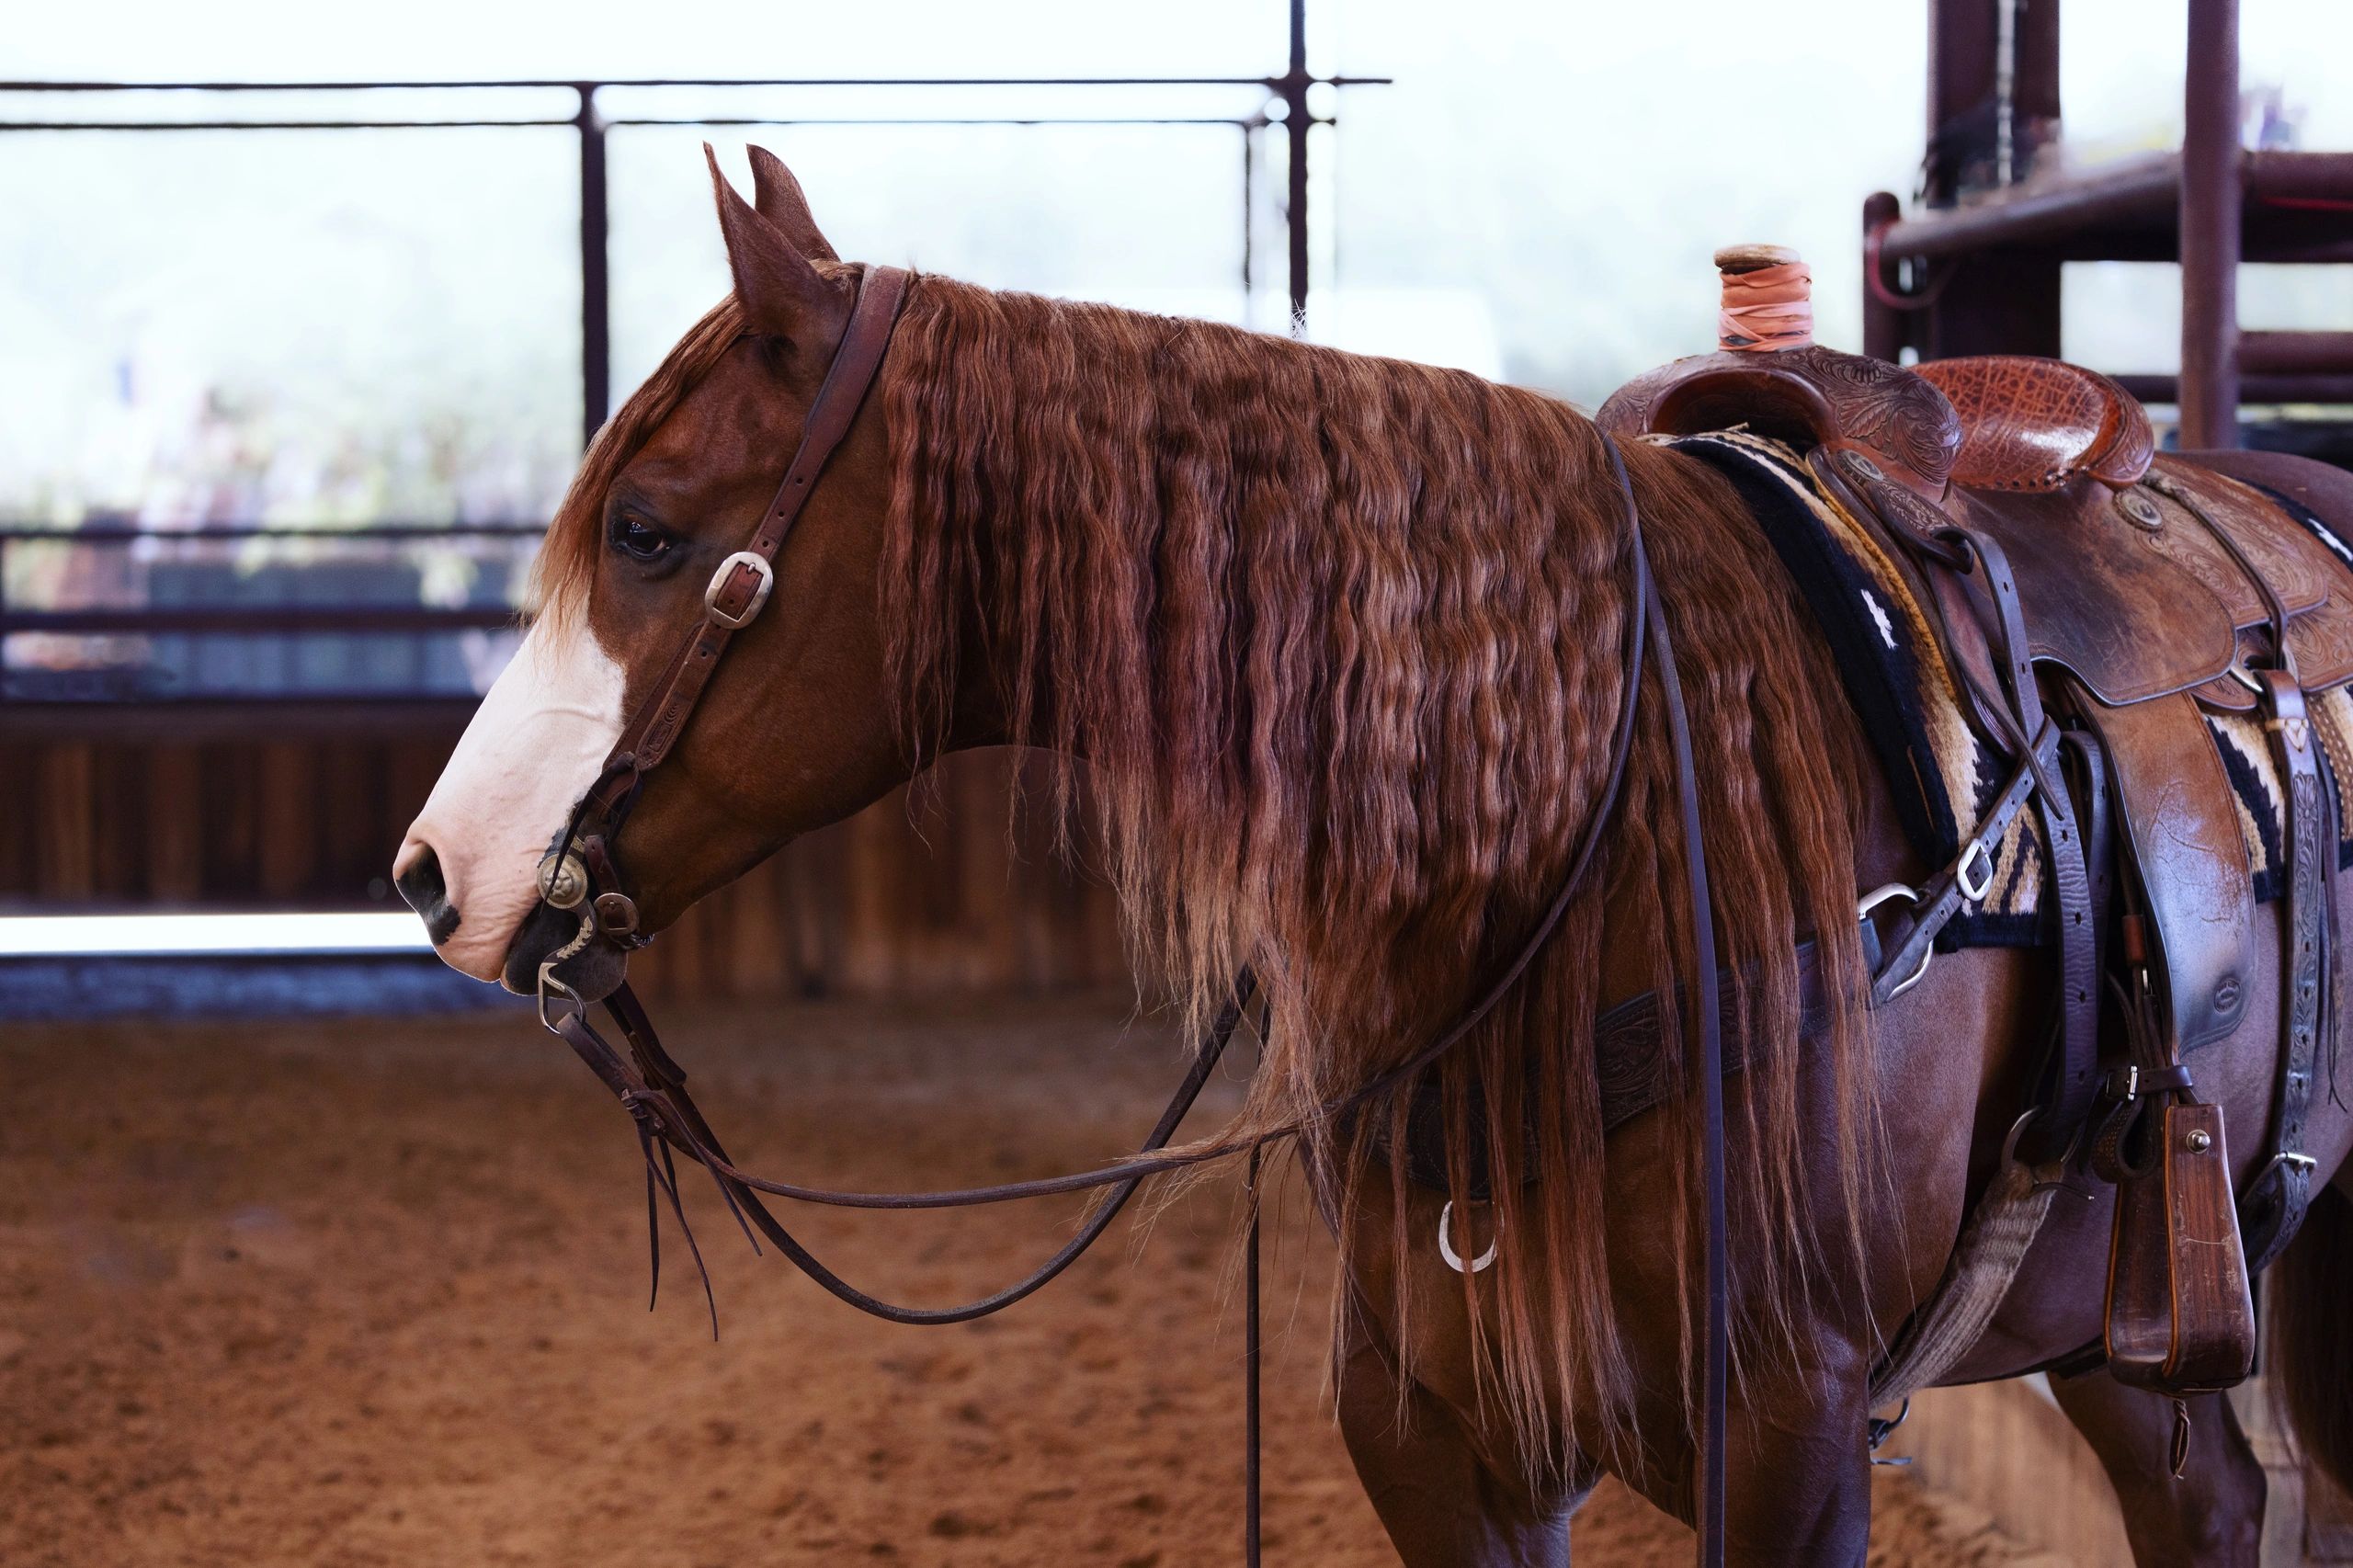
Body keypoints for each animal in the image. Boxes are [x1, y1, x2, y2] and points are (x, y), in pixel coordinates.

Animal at [393, 145, 2353, 1566]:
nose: (430, 874)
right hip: (2134, 1307)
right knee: (2211, 1494)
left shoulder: (1789, 1444)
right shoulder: (1444, 1448)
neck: (1607, 856)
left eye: (651, 533)